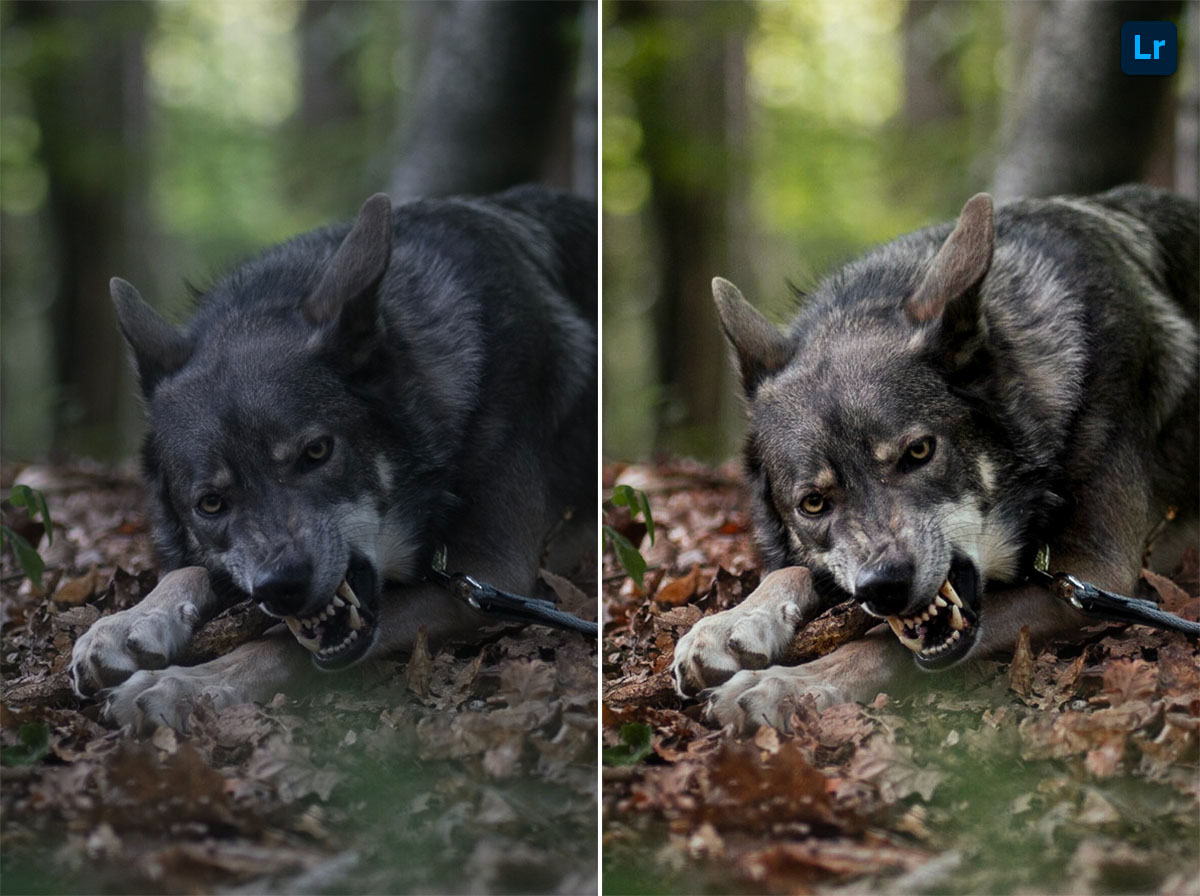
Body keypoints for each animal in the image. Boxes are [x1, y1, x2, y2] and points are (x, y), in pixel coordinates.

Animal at [70, 186, 596, 733]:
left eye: (317, 452)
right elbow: (188, 571)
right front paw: (130, 620)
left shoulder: (494, 578)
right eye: (210, 503)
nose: (281, 588)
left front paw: (186, 684)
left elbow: (282, 642)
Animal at [671, 185, 1198, 732]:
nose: (883, 588)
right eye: (813, 503)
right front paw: (730, 622)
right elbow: (789, 572)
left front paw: (787, 684)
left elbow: (881, 642)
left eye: (919, 451)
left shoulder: (1095, 579)